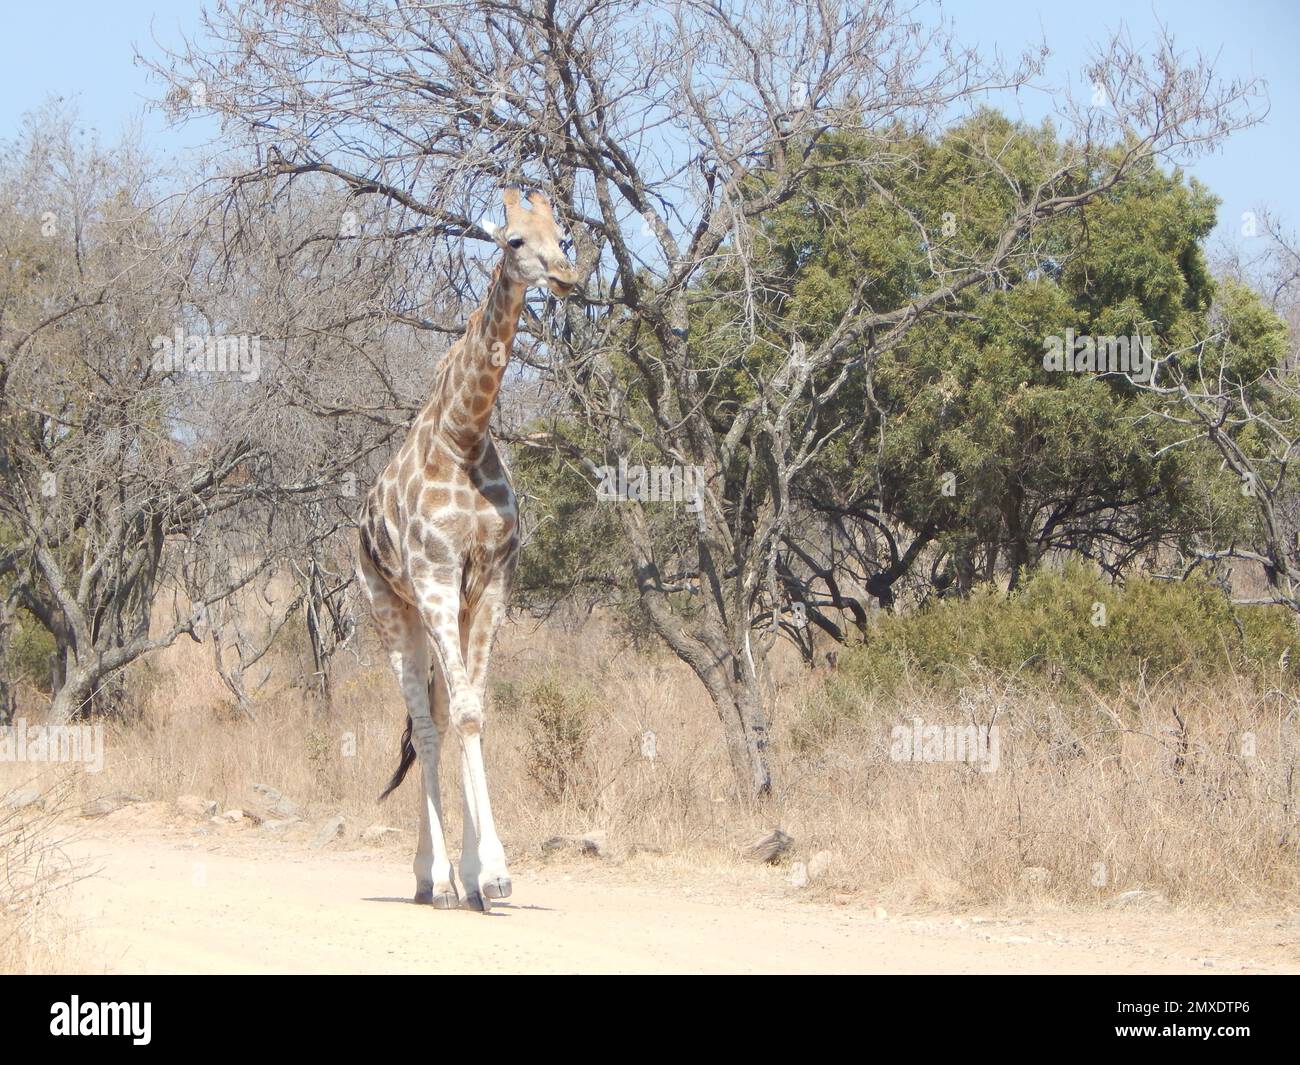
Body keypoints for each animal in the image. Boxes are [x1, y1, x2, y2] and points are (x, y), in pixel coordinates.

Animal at [357, 187, 577, 911]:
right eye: (514, 239)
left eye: (562, 233)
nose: (567, 276)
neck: (464, 433)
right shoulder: (434, 575)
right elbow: (463, 715)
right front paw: (487, 873)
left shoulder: (493, 579)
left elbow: (475, 709)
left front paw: (489, 874)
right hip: (390, 608)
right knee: (424, 726)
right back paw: (434, 879)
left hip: (440, 607)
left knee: (439, 715)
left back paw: (446, 876)